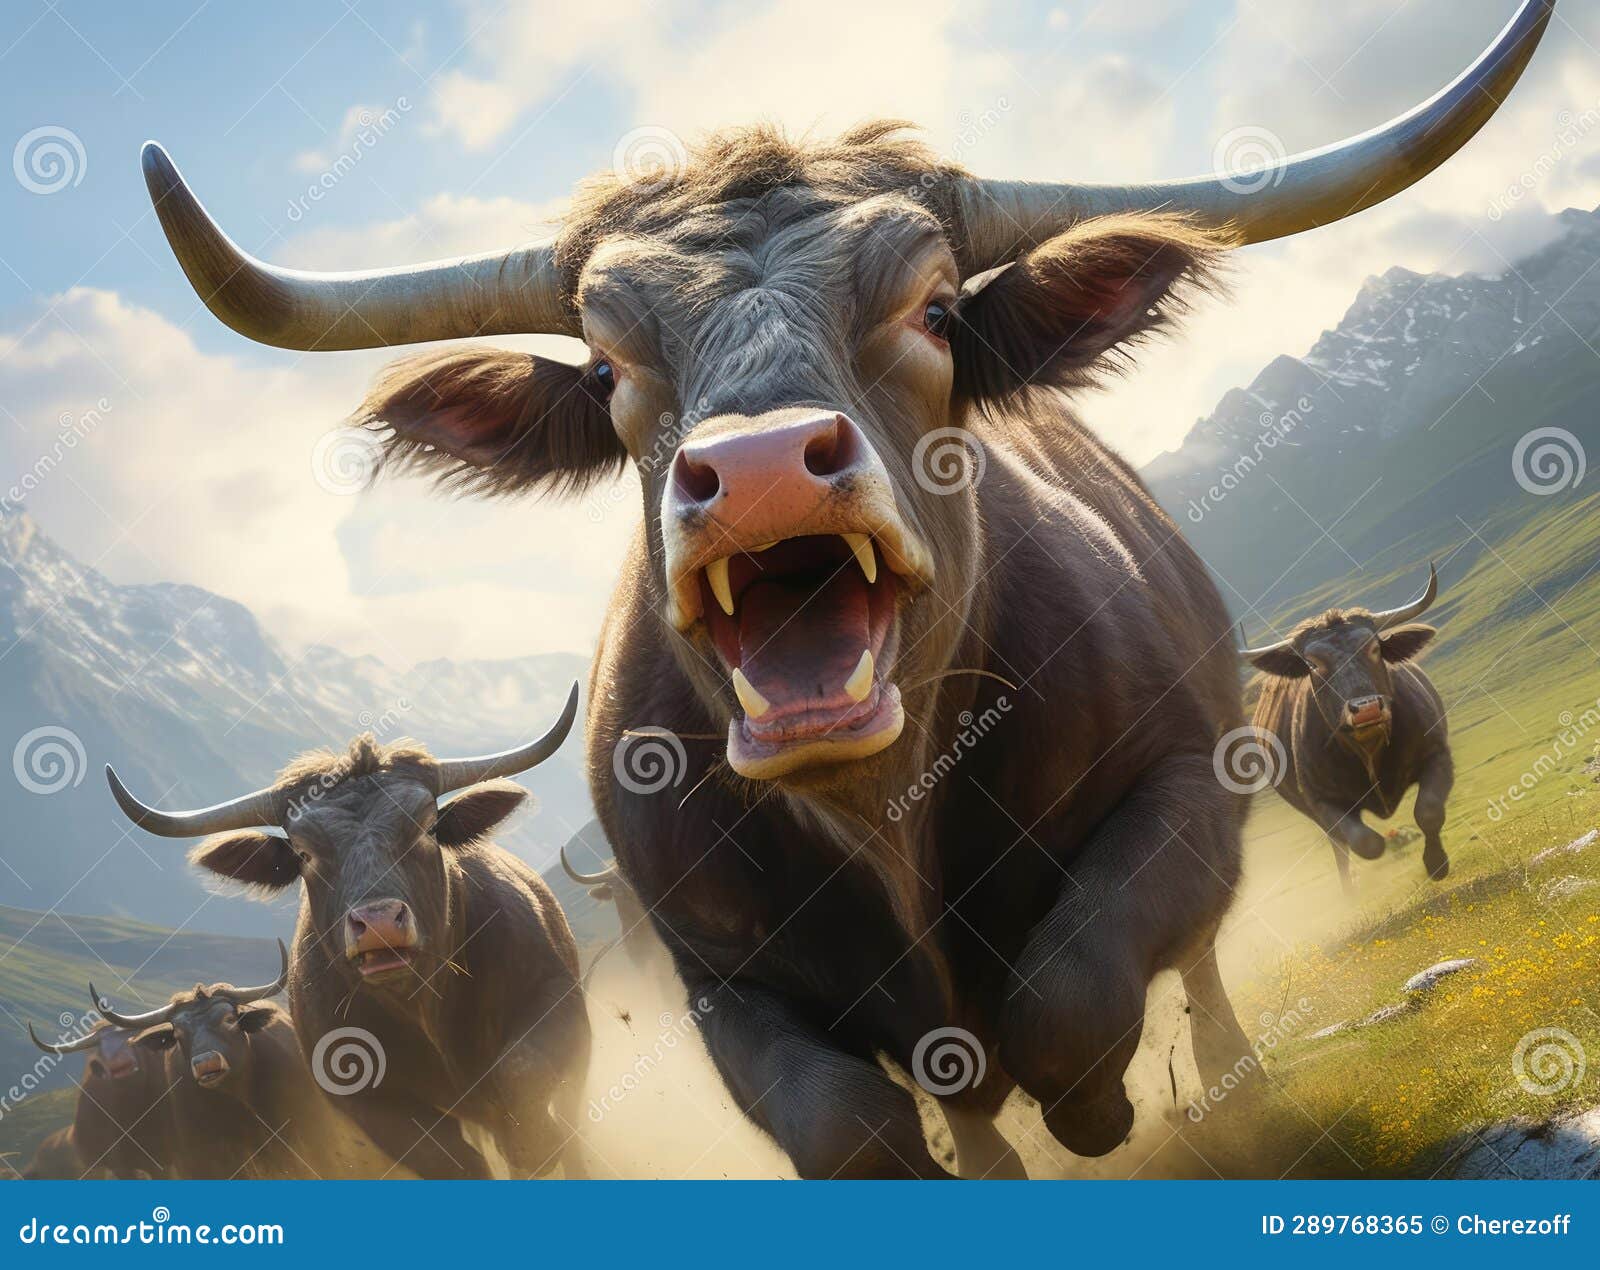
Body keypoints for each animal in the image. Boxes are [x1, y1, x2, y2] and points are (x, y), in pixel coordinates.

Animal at [104, 692, 591, 1180]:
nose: (378, 923)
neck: (424, 1004)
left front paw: (540, 1143)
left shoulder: (557, 1003)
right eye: (303, 853)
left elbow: (522, 1076)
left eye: (428, 827)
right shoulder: (367, 1104)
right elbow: (454, 1161)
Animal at [1243, 567, 1452, 895]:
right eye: (1313, 665)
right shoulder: (1321, 801)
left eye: (1374, 648)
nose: (1366, 708)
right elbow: (1366, 842)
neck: (1369, 747)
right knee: (1338, 845)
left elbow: (1428, 811)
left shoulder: (1438, 754)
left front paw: (1436, 864)